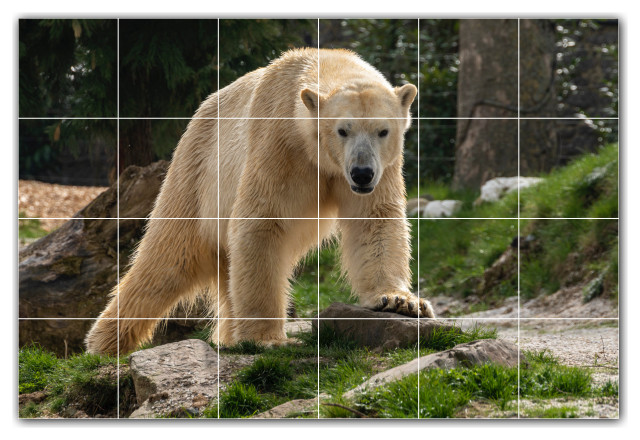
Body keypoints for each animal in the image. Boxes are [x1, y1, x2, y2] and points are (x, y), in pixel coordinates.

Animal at [85, 48, 435, 355]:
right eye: (342, 130)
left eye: (383, 130)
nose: (362, 173)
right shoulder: (279, 145)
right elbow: (262, 223)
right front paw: (267, 339)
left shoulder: (383, 168)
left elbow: (374, 219)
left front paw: (400, 301)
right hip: (195, 173)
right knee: (167, 257)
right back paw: (103, 342)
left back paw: (227, 336)